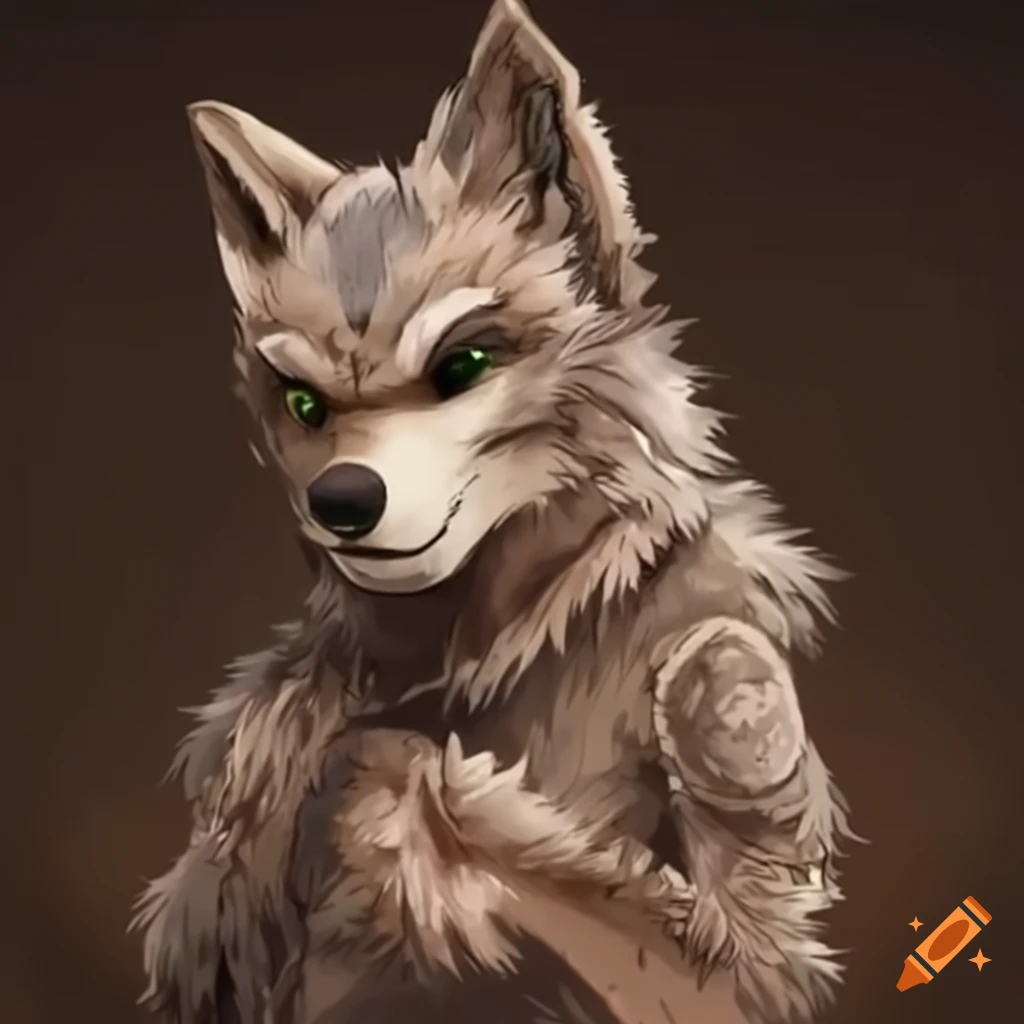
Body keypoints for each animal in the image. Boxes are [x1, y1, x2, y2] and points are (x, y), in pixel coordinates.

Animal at [133, 2, 857, 1023]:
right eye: (305, 403)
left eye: (464, 365)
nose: (340, 500)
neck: (481, 652)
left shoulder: (750, 970)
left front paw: (729, 711)